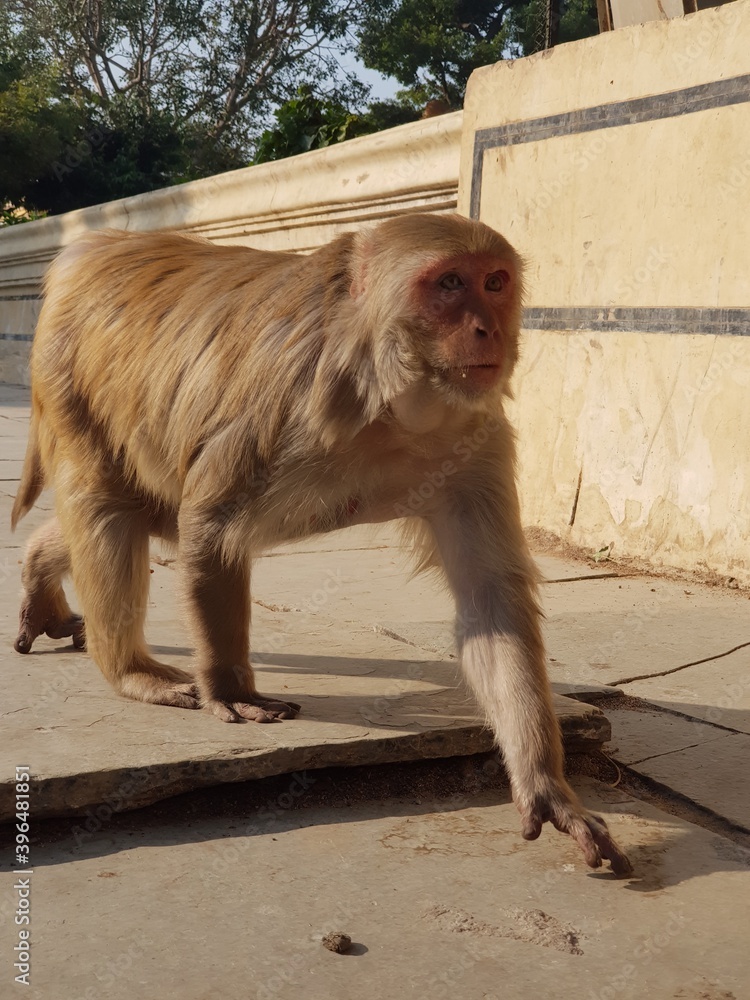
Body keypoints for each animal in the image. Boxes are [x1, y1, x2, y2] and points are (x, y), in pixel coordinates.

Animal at [11, 213, 632, 875]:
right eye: (449, 283)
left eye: (495, 282)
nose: (488, 327)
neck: (393, 395)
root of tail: (94, 249)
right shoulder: (284, 404)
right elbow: (209, 522)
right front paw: (230, 689)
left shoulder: (477, 443)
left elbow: (489, 602)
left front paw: (546, 787)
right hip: (71, 379)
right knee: (112, 511)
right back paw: (130, 671)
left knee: (142, 512)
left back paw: (39, 576)